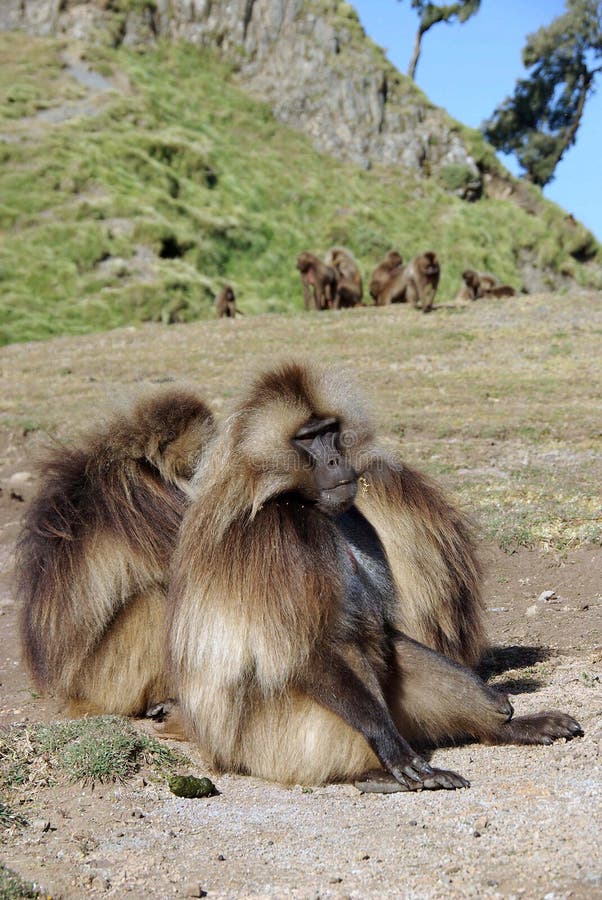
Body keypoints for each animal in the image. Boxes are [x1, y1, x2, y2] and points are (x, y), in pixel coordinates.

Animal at [167, 360, 582, 791]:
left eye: (329, 431)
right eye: (306, 439)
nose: (335, 462)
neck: (292, 496)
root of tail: (217, 752)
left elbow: (384, 628)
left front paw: (495, 702)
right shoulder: (281, 538)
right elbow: (304, 653)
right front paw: (392, 750)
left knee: (385, 647)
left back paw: (511, 727)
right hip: (271, 746)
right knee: (345, 648)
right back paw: (376, 772)